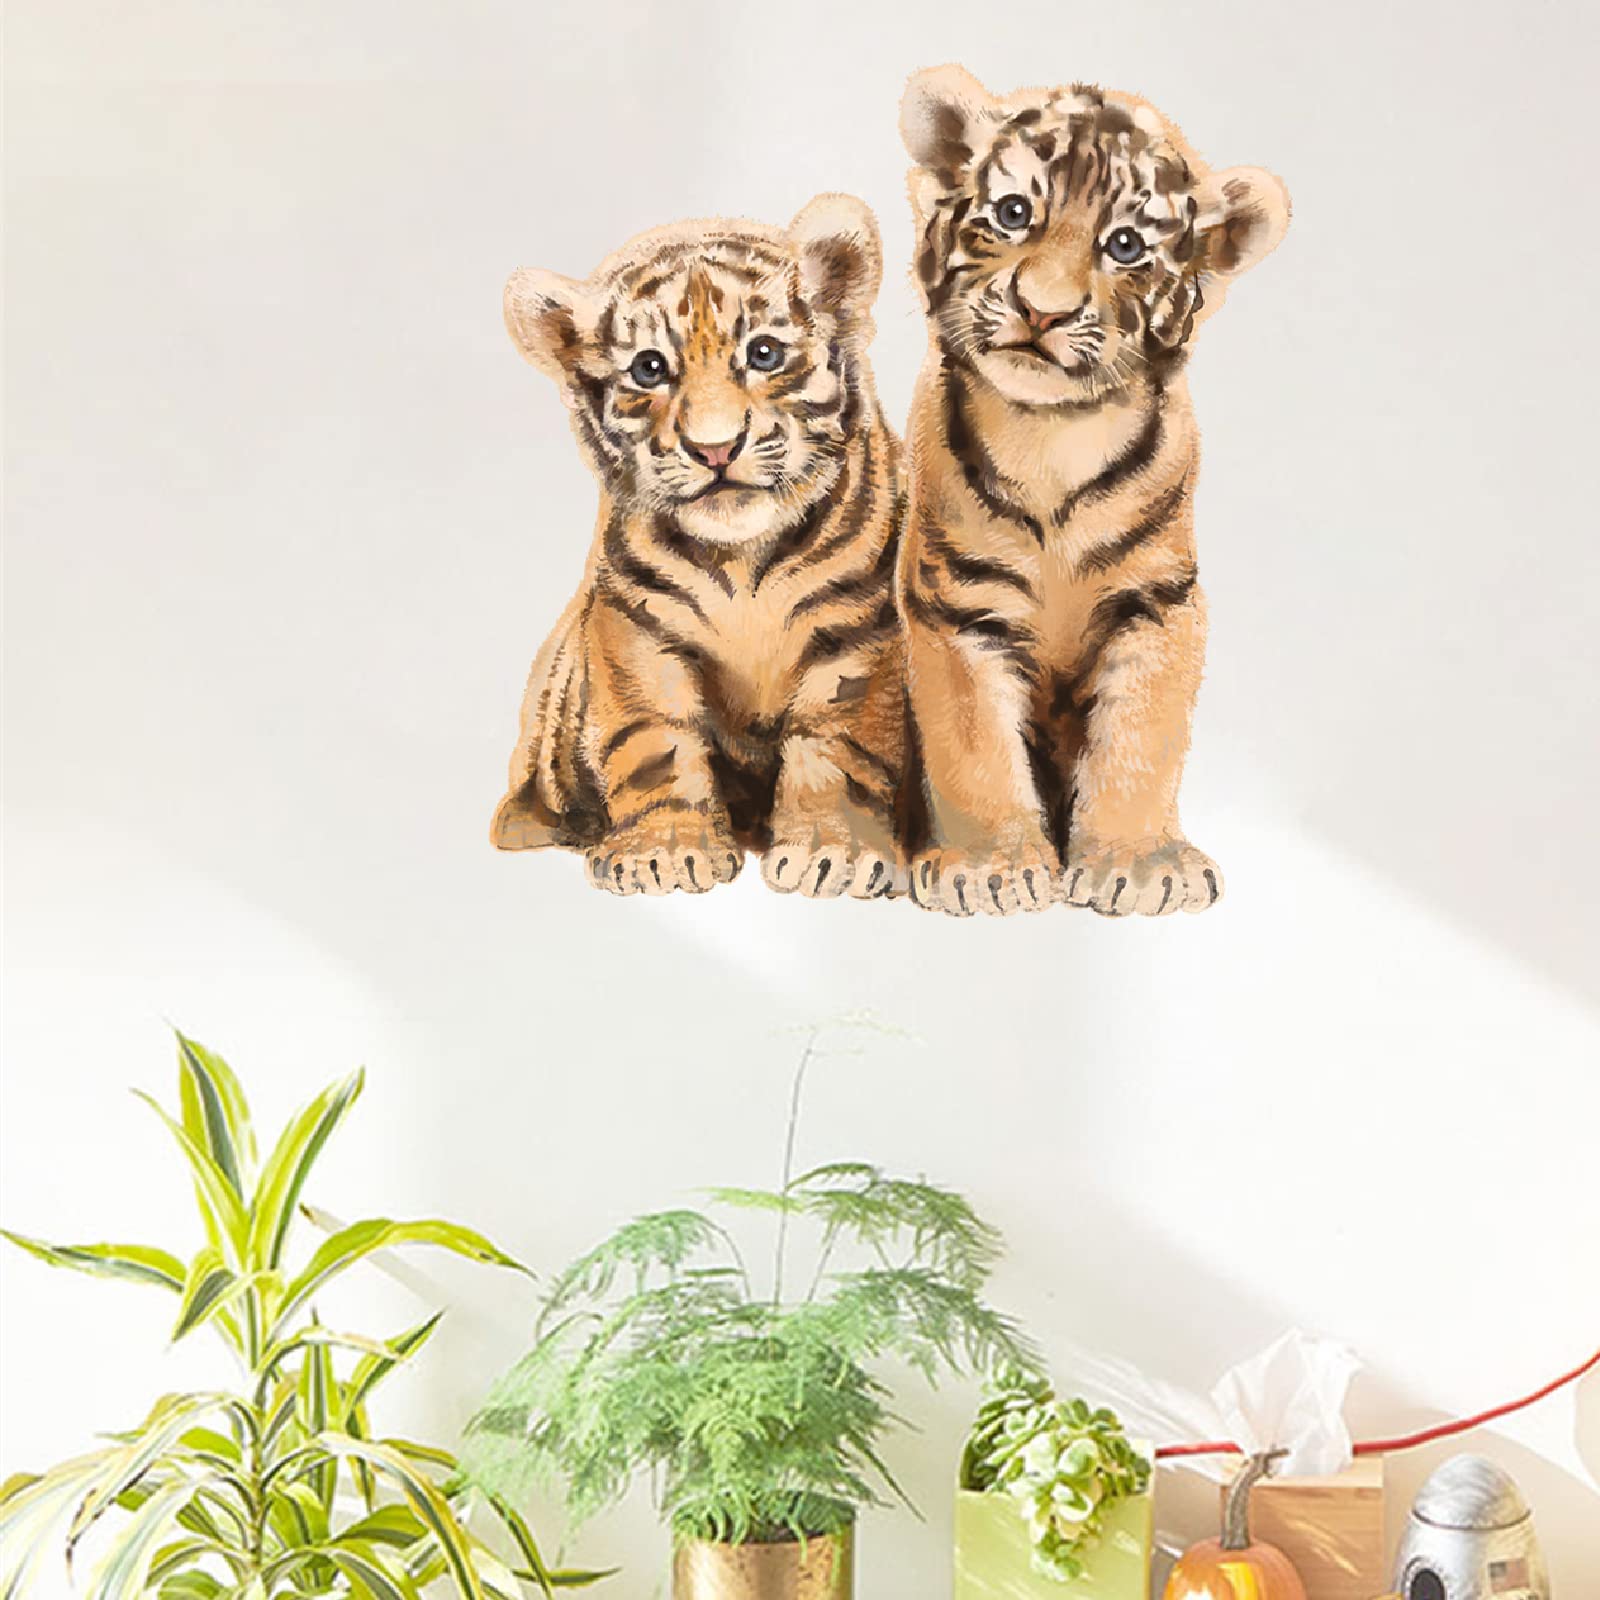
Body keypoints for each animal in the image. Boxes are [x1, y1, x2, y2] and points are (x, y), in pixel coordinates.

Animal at [490, 194, 908, 900]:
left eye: (764, 354)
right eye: (649, 368)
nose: (715, 449)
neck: (743, 559)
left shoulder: (857, 625)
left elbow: (838, 743)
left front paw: (834, 852)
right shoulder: (638, 629)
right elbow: (654, 739)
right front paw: (664, 852)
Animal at [896, 66, 1290, 916]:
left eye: (1125, 245)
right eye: (1014, 213)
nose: (1041, 310)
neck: (1051, 437)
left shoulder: (1159, 600)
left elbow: (1142, 738)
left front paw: (1141, 863)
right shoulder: (956, 605)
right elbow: (973, 741)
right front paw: (993, 864)